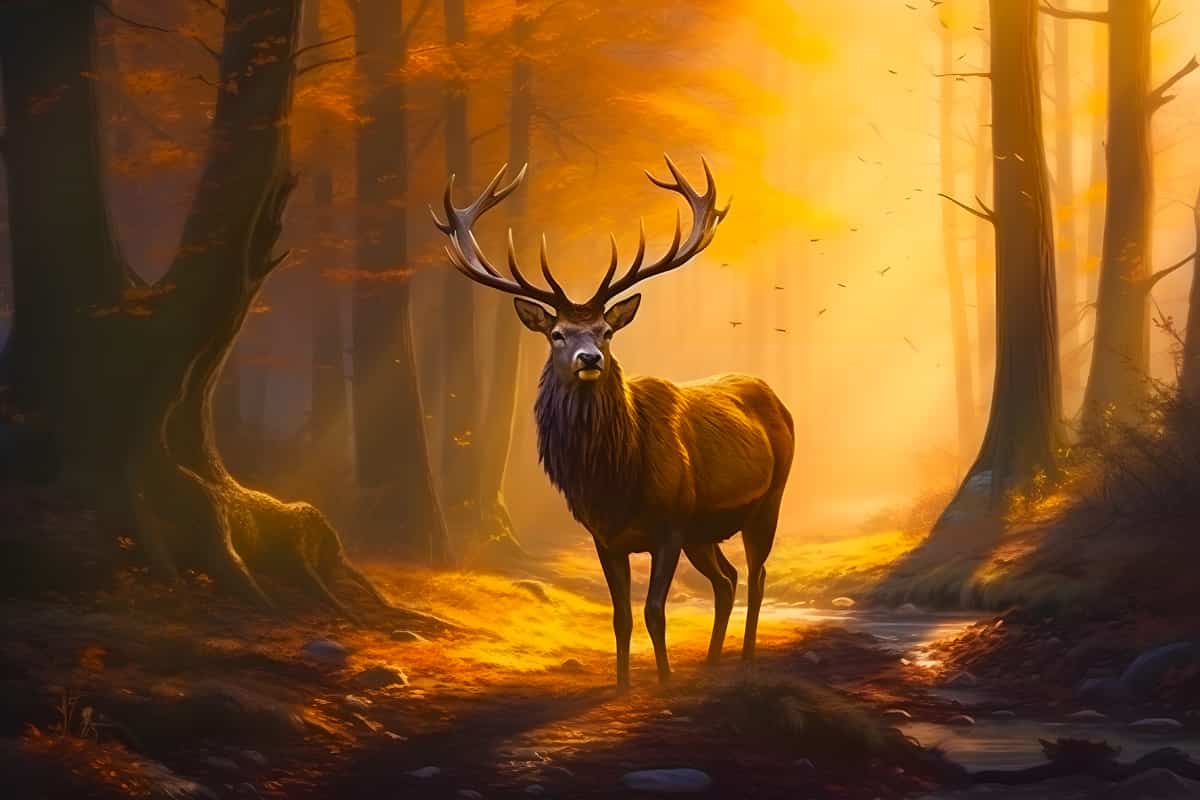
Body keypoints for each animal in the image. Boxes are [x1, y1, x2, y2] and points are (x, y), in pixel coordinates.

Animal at [431, 157, 794, 688]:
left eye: (605, 330)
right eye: (557, 333)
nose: (590, 358)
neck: (615, 480)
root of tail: (776, 398)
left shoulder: (669, 525)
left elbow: (654, 612)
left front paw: (663, 682)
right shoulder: (604, 536)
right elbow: (621, 617)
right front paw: (622, 684)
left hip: (767, 500)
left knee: (757, 573)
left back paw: (745, 657)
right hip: (704, 531)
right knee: (726, 579)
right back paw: (711, 660)